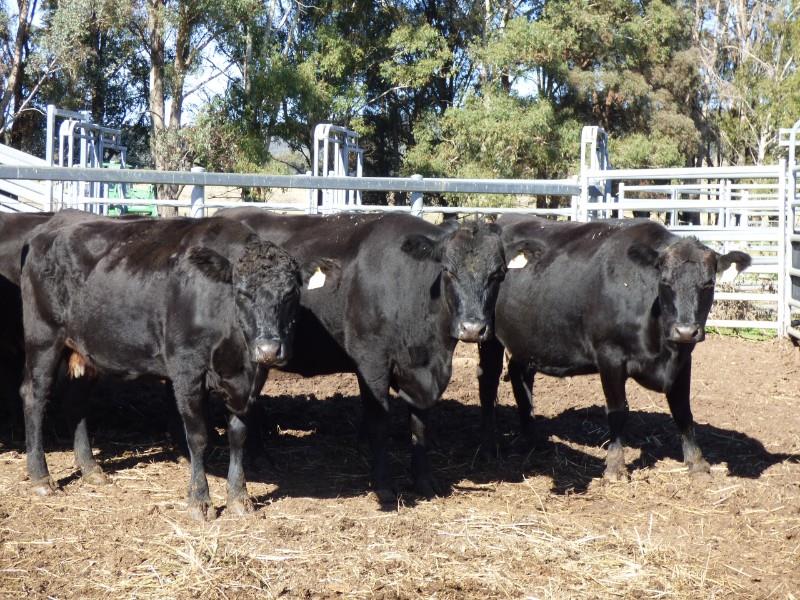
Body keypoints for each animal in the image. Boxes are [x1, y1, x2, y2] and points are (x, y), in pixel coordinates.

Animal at [20, 216, 325, 520]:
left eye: (291, 294)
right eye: (242, 292)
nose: (269, 349)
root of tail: (53, 224)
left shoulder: (249, 380)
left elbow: (238, 435)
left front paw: (240, 498)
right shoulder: (187, 372)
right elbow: (198, 437)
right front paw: (200, 500)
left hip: (86, 349)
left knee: (75, 402)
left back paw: (91, 469)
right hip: (43, 339)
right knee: (34, 396)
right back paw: (41, 478)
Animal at [220, 208, 507, 501]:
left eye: (499, 273)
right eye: (448, 270)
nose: (473, 328)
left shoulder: (423, 371)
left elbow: (419, 425)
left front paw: (424, 481)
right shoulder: (371, 362)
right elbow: (379, 425)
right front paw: (383, 486)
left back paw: (261, 456)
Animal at [478, 215, 751, 480]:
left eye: (709, 283)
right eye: (665, 282)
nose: (685, 330)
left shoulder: (684, 358)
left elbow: (683, 410)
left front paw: (697, 463)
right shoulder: (609, 355)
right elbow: (618, 411)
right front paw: (615, 467)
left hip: (528, 339)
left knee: (519, 376)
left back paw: (533, 439)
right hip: (489, 337)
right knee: (488, 382)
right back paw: (490, 446)